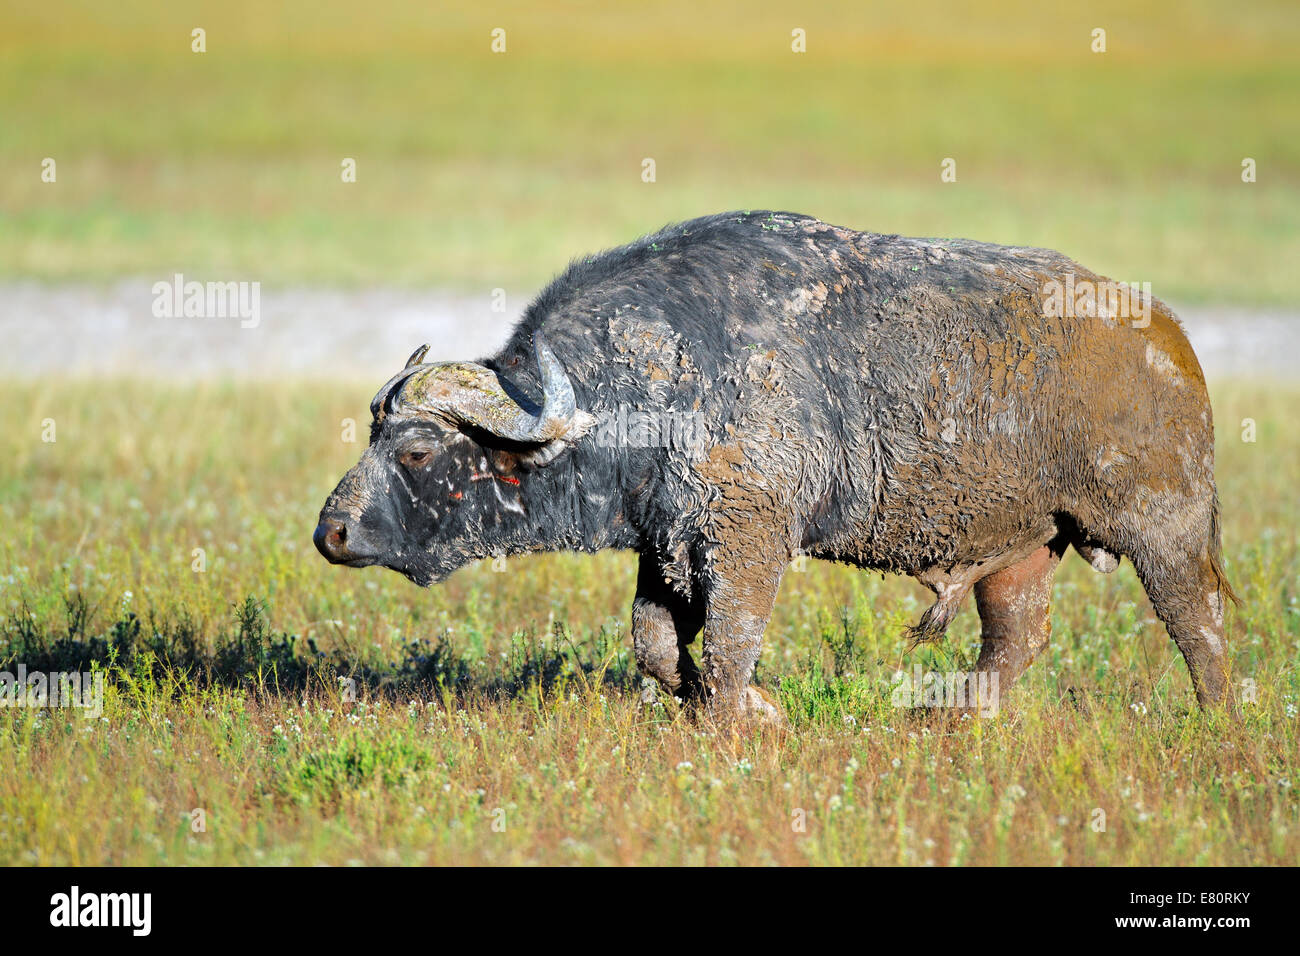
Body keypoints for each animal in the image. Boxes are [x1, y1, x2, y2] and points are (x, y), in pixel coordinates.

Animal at [314, 211, 1236, 723]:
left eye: (418, 449)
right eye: (373, 435)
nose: (332, 533)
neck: (650, 391)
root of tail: (1169, 337)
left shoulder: (747, 542)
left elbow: (728, 648)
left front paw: (743, 719)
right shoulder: (665, 545)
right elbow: (655, 644)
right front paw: (741, 710)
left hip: (1164, 529)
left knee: (1200, 625)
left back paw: (1216, 719)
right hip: (1021, 548)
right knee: (1017, 638)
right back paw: (947, 718)